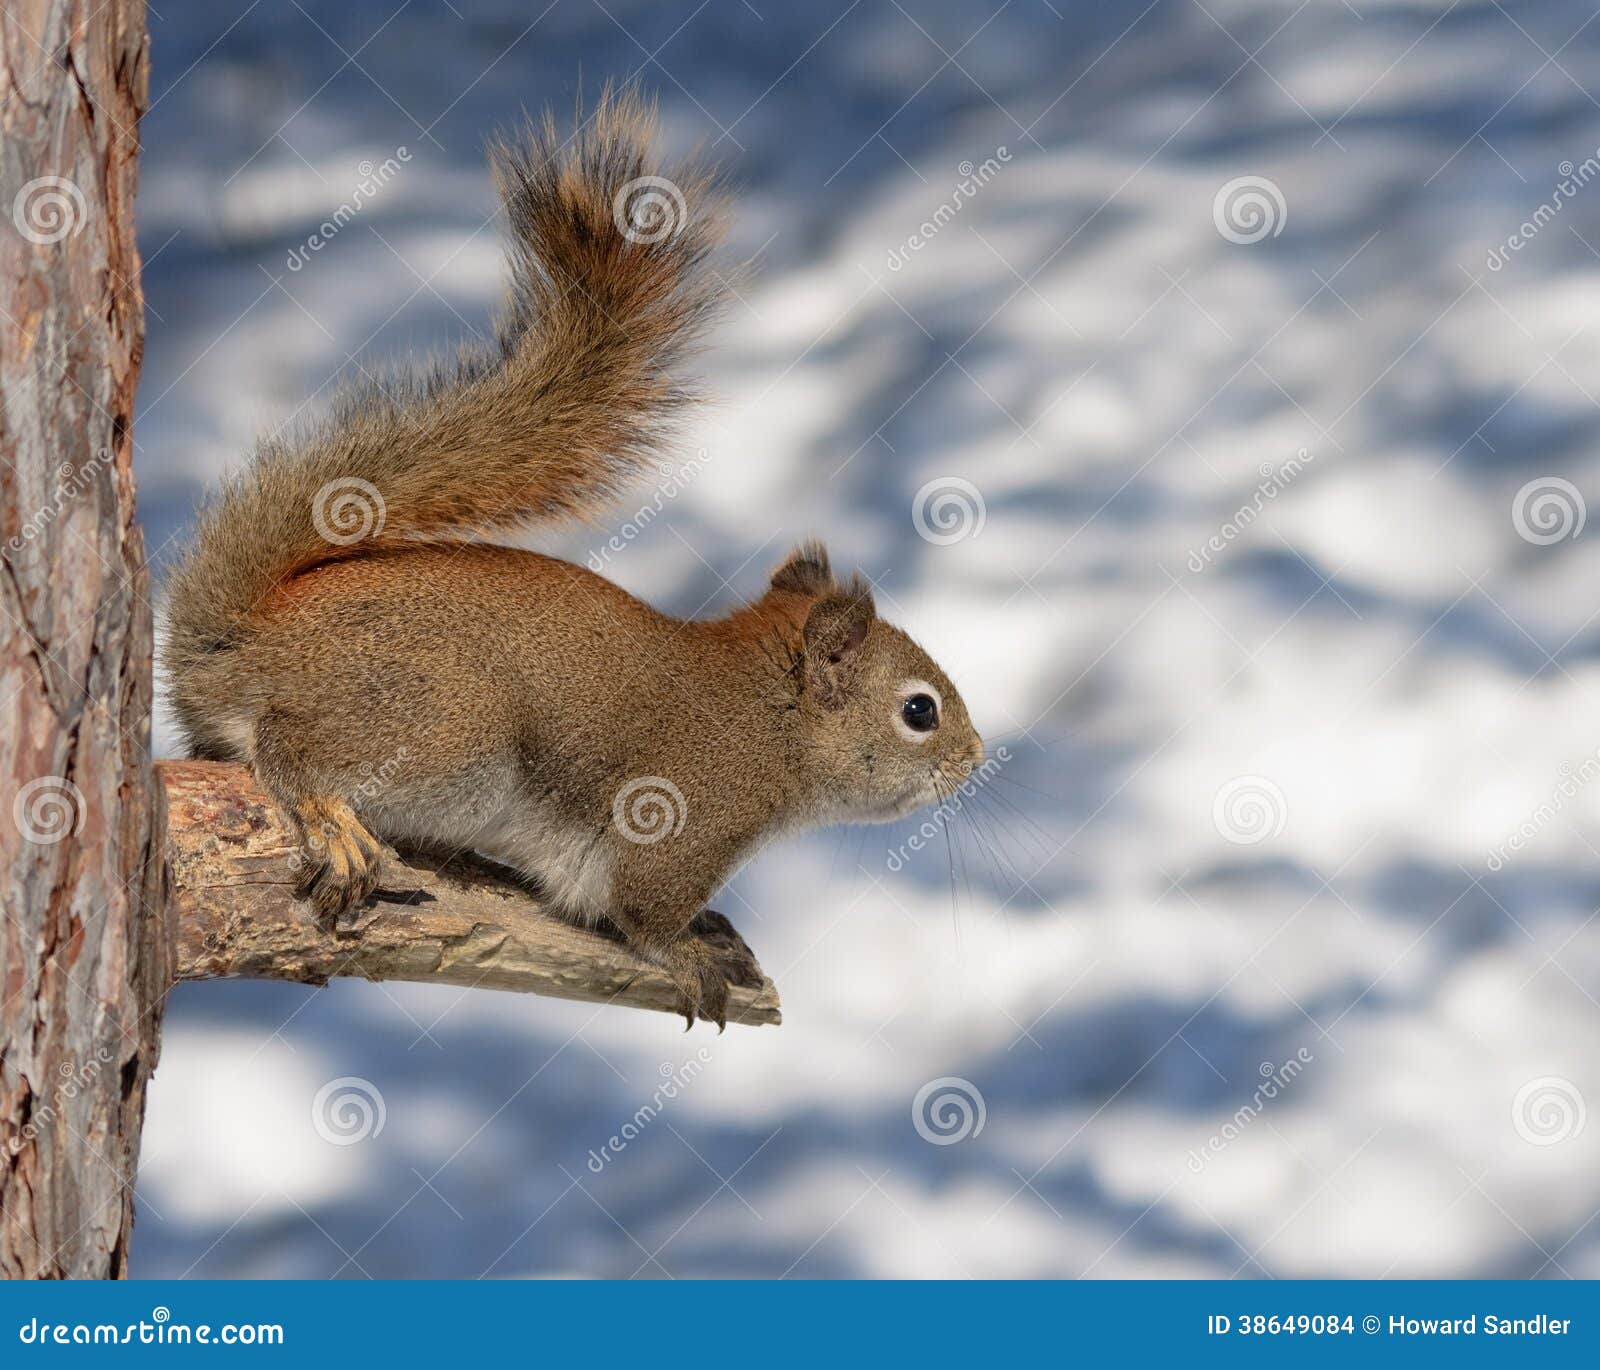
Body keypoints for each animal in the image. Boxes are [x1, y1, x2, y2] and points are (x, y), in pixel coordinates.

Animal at [162, 90, 983, 1029]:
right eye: (919, 712)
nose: (976, 757)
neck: (766, 719)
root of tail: (243, 640)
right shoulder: (678, 827)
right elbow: (643, 913)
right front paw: (694, 955)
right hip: (445, 724)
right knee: (286, 747)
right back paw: (330, 814)